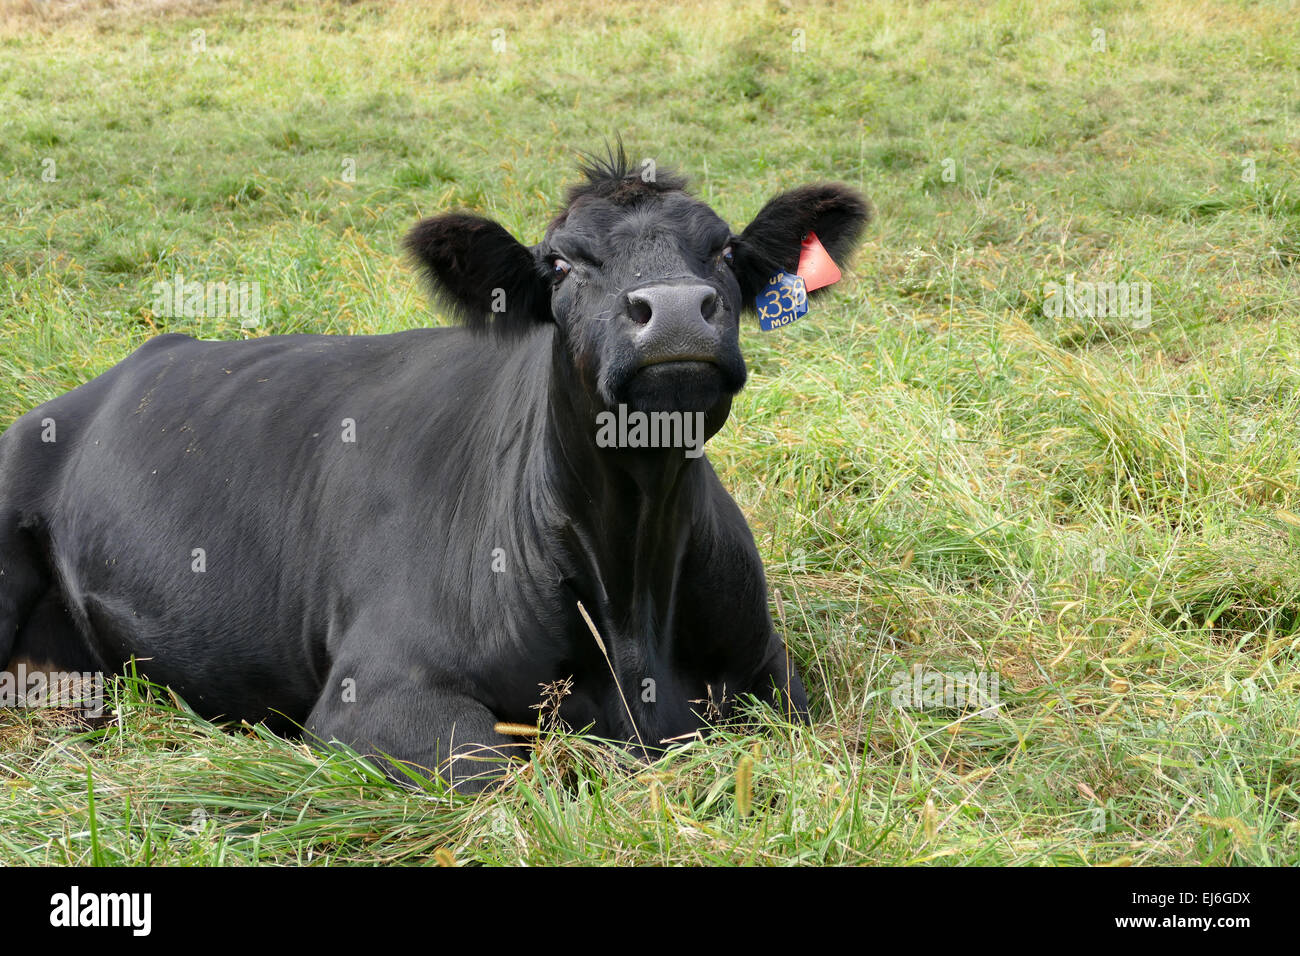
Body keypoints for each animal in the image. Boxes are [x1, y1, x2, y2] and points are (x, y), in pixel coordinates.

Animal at [0, 146, 870, 791]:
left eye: (723, 250)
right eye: (562, 264)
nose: (678, 310)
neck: (633, 588)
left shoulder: (772, 678)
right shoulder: (377, 698)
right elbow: (502, 779)